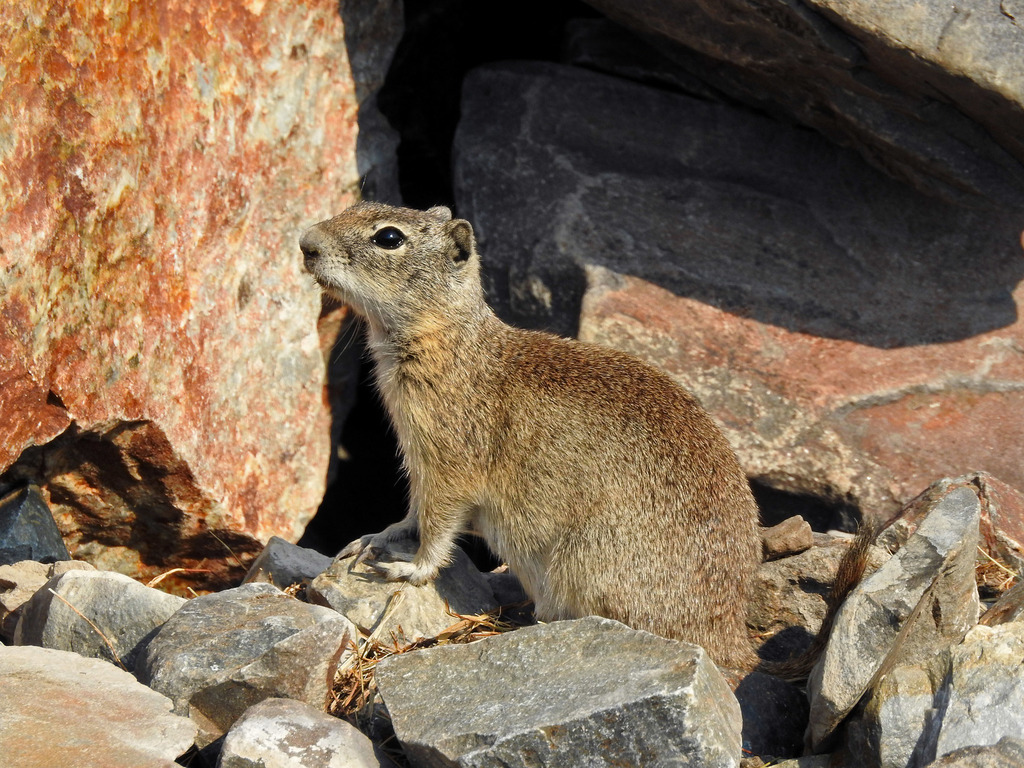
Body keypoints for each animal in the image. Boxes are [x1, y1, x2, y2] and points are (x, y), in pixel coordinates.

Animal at [300, 201, 871, 674]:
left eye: (388, 237)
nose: (306, 241)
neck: (451, 340)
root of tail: (730, 638)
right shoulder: (419, 463)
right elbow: (412, 512)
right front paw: (376, 537)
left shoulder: (448, 464)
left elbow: (438, 529)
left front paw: (404, 569)